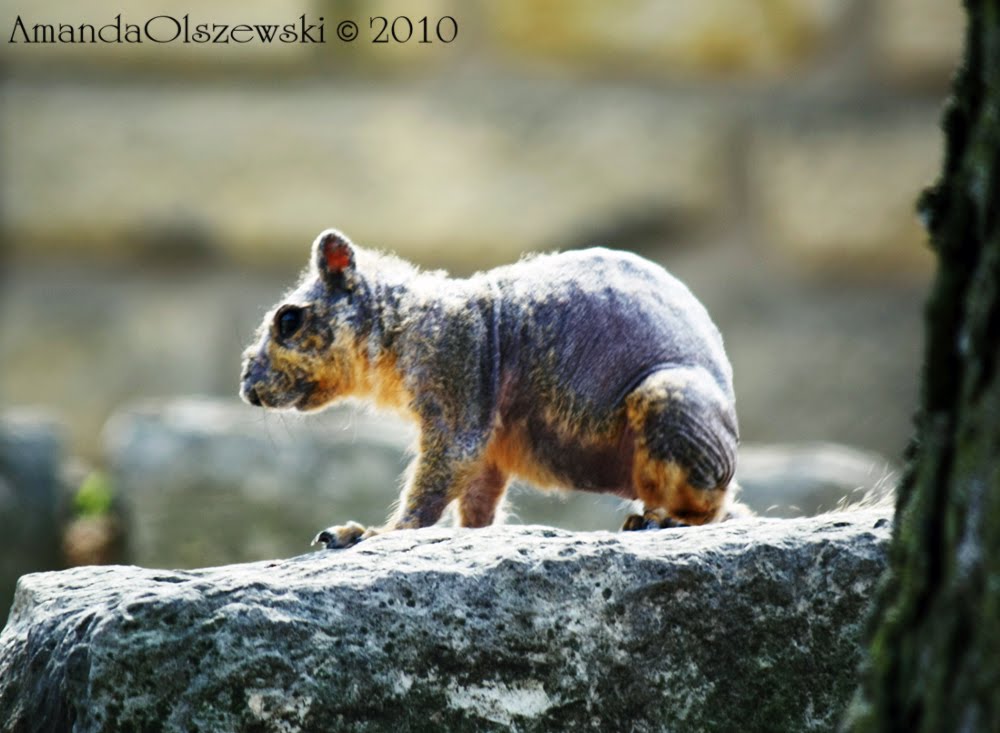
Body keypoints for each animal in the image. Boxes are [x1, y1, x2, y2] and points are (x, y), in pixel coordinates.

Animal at [240, 229, 741, 549]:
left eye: (289, 319)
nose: (246, 384)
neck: (408, 323)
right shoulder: (490, 442)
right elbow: (478, 498)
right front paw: (467, 534)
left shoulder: (459, 378)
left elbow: (437, 480)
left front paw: (371, 533)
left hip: (670, 404)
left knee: (711, 508)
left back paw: (664, 519)